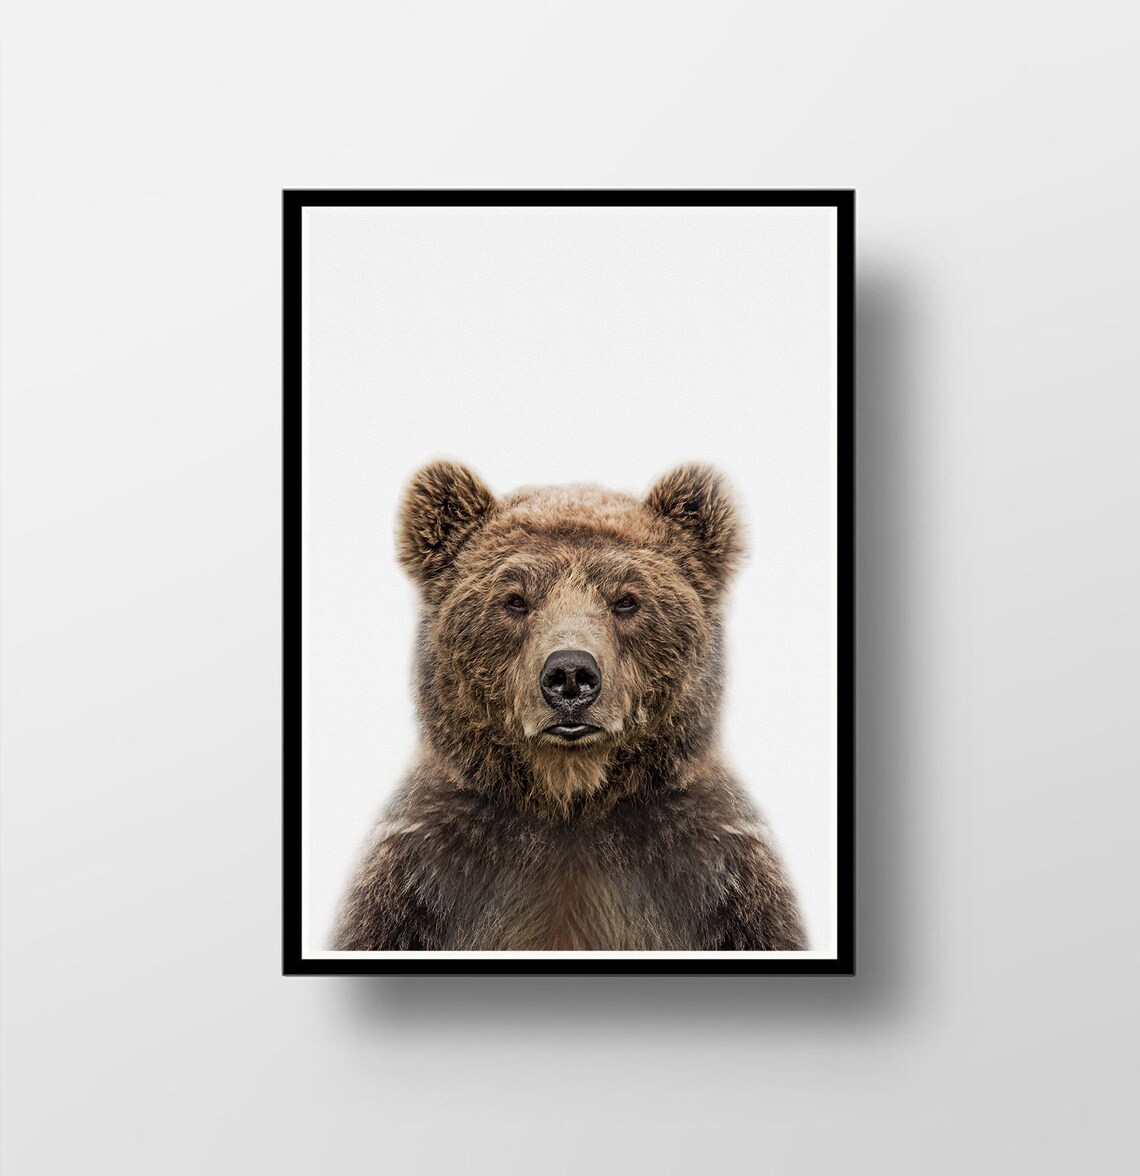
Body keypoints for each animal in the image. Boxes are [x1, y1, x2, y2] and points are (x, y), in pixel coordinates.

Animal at [331, 461, 807, 951]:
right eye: (515, 599)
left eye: (626, 600)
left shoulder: (723, 879)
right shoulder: (418, 877)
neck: (569, 798)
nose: (571, 674)